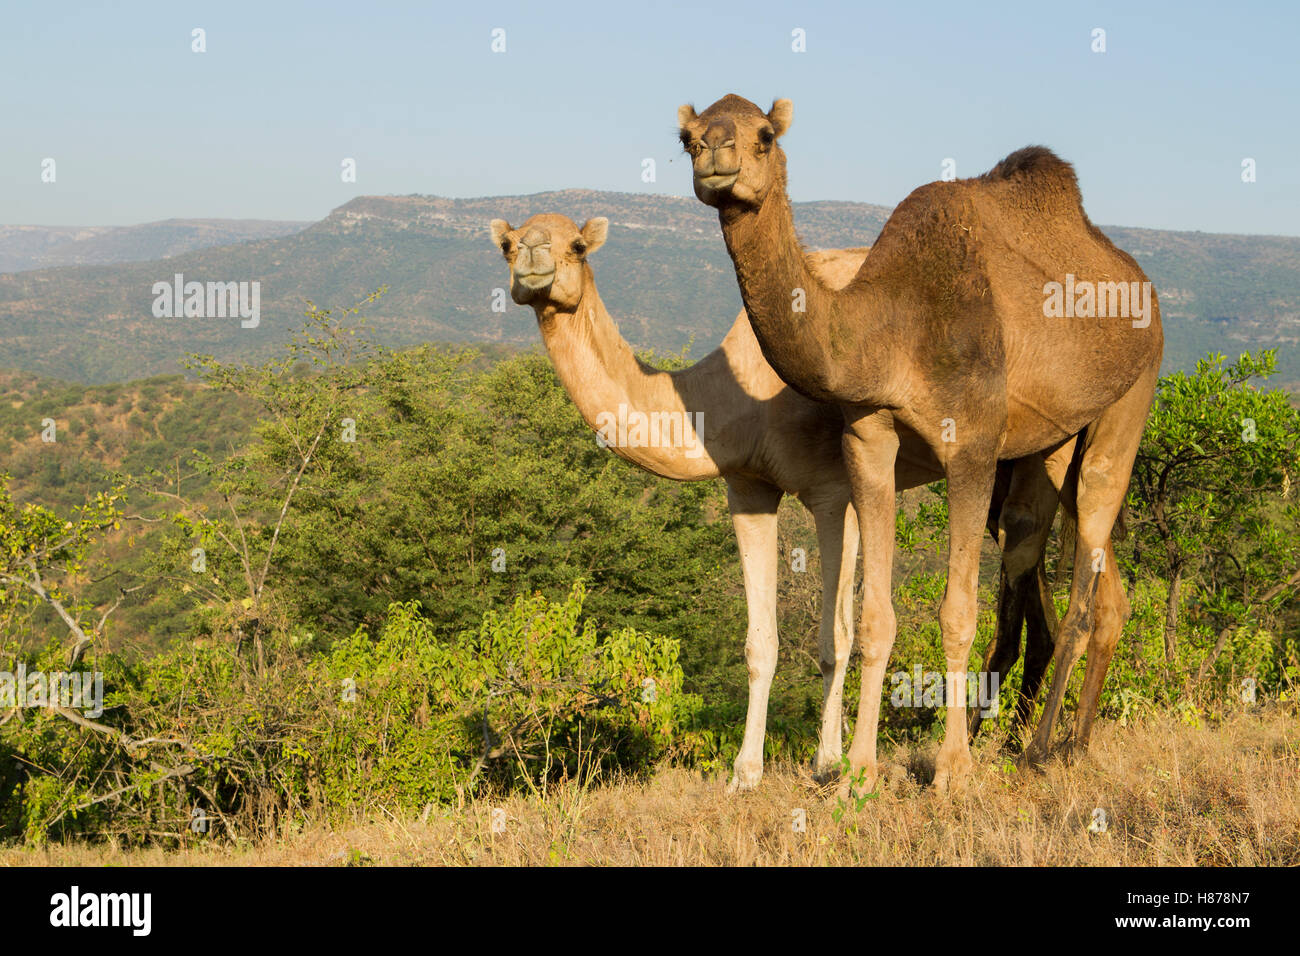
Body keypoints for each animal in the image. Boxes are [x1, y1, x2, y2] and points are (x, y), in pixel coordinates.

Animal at [489, 212, 1064, 791]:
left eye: (578, 247)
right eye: (508, 245)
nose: (533, 260)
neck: (737, 398)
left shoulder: (833, 490)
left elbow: (836, 635)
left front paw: (829, 762)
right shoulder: (748, 487)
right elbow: (759, 643)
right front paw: (745, 773)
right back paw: (1008, 739)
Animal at [678, 95, 1163, 793]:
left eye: (765, 136)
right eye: (686, 138)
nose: (715, 153)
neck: (889, 327)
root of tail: (1138, 282)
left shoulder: (973, 441)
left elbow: (957, 612)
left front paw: (952, 770)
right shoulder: (867, 435)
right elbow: (876, 618)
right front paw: (858, 771)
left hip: (1133, 390)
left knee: (1088, 563)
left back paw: (1040, 749)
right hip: (1049, 448)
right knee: (1059, 556)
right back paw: (1072, 742)